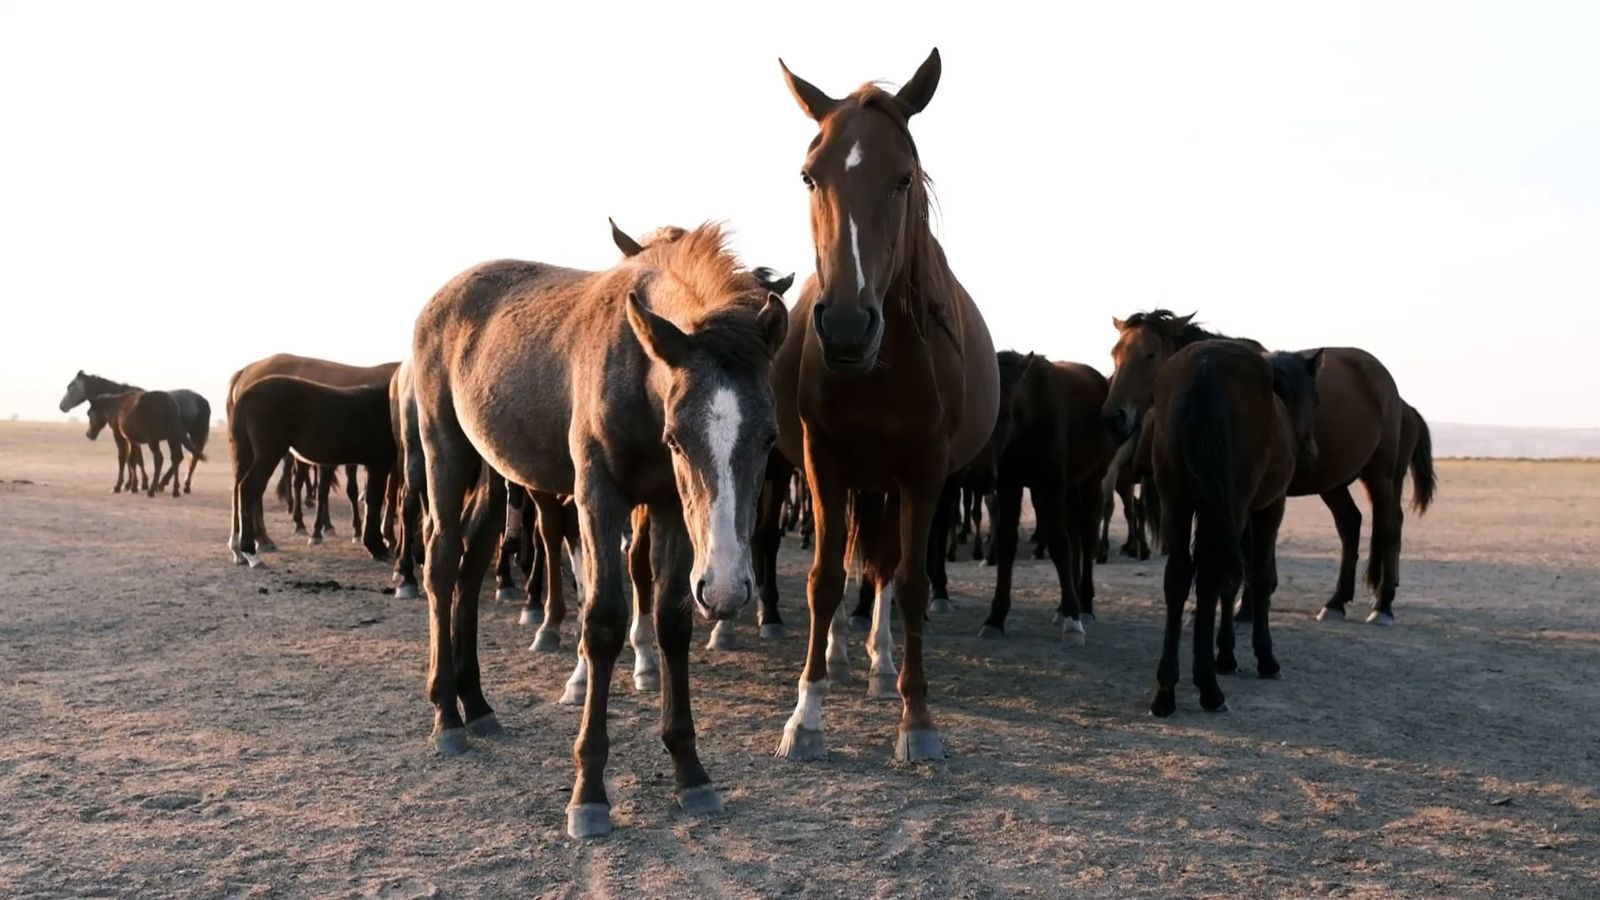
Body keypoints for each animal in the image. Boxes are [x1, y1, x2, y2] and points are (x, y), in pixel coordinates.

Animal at [226, 354, 399, 552]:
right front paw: (387, 538)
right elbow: (387, 495)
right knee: (253, 489)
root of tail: (245, 373)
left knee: (245, 489)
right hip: (268, 453)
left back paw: (251, 541)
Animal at [410, 221, 787, 838]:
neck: (637, 370)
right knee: (442, 564)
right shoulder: (598, 495)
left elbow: (672, 619)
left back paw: (478, 705)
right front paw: (588, 792)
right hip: (445, 447)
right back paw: (446, 715)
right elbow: (605, 619)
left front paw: (691, 771)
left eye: (770, 437)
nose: (727, 589)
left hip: (493, 471)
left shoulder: (668, 505)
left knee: (472, 565)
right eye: (678, 438)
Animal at [771, 48, 1000, 762]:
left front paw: (916, 718)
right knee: (853, 565)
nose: (846, 327)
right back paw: (845, 660)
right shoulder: (824, 464)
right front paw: (806, 717)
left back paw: (880, 664)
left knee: (885, 571)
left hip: (892, 485)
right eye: (809, 176)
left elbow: (911, 583)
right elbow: (823, 579)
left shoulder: (923, 473)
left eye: (903, 179)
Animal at [1103, 310, 1435, 625]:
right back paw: (1336, 602)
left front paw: (1243, 608)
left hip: (1382, 474)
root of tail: (1396, 395)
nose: (1114, 416)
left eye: (1150, 354)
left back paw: (1383, 606)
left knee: (1389, 526)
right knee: (1349, 523)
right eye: (1115, 353)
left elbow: (1246, 548)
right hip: (1332, 482)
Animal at [1146, 341, 1322, 717]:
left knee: (1179, 577)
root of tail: (1204, 369)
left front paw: (1225, 654)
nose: (1311, 455)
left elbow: (1233, 580)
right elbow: (1259, 576)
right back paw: (1208, 689)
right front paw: (1263, 657)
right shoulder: (1269, 507)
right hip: (1234, 503)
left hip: (1178, 501)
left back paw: (1166, 690)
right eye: (1315, 399)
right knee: (1210, 574)